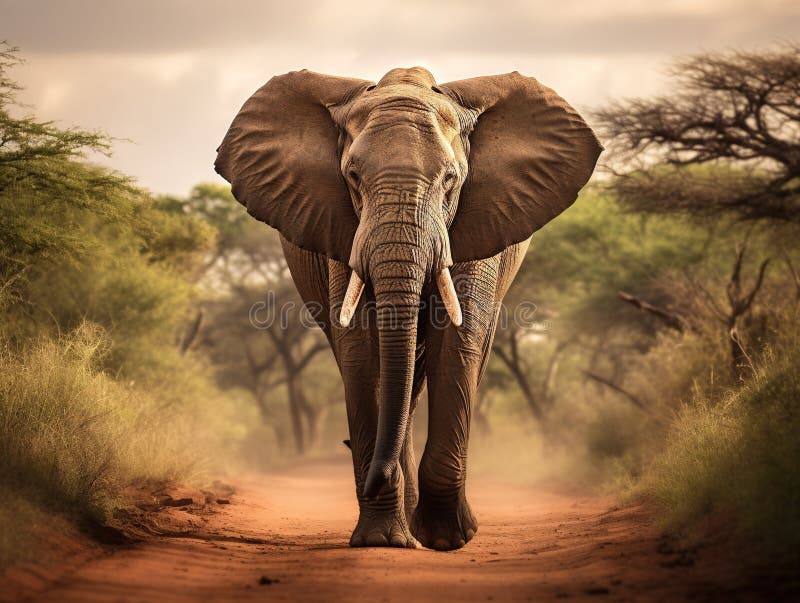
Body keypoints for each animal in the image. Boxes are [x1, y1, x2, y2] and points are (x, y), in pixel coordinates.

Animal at [215, 66, 601, 551]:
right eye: (352, 176)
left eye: (451, 180)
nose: (373, 478)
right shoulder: (341, 227)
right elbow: (362, 350)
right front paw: (382, 539)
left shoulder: (479, 220)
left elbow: (458, 343)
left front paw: (446, 537)